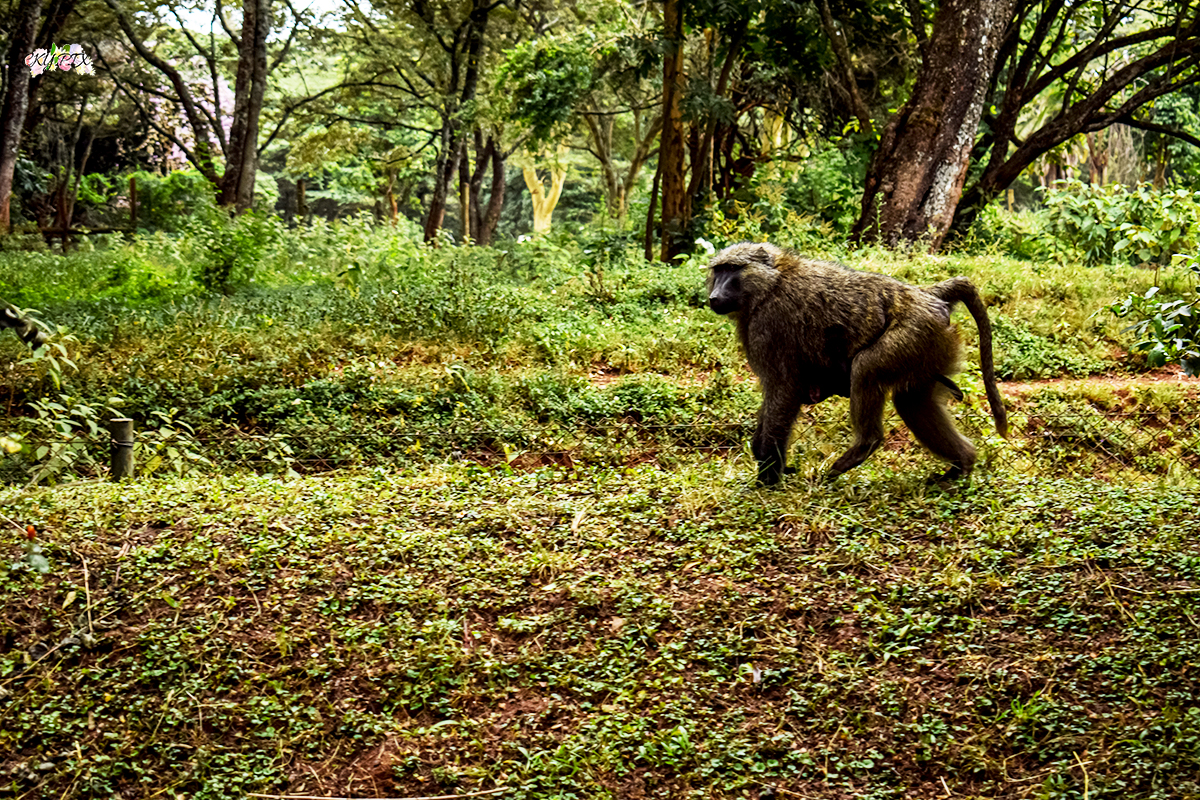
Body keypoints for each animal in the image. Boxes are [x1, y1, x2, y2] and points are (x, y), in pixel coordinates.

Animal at [705, 242, 1007, 485]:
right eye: (718, 271)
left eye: (732, 269)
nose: (713, 297)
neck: (771, 283)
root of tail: (927, 295)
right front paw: (761, 457)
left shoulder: (771, 324)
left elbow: (783, 390)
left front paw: (768, 478)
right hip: (929, 346)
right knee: (912, 402)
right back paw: (962, 465)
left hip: (915, 331)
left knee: (866, 369)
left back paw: (860, 449)